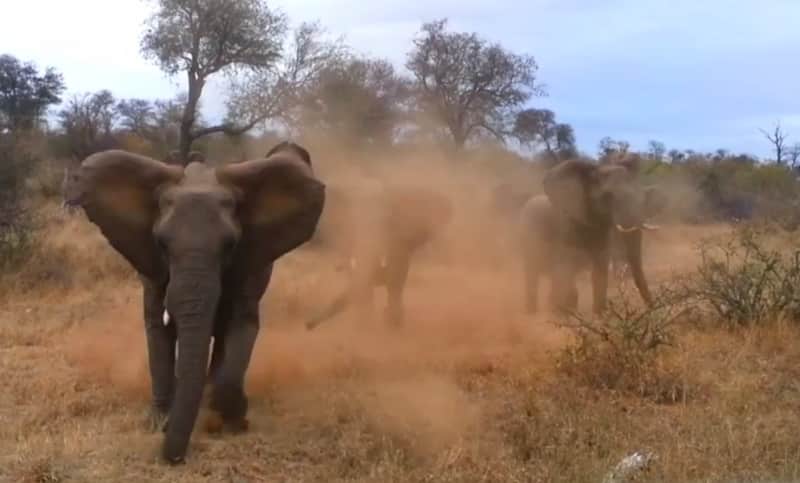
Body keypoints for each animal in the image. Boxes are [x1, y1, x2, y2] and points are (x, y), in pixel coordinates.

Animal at [62, 141, 325, 464]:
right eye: (162, 244)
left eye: (230, 245)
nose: (172, 458)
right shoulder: (151, 268)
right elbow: (157, 328)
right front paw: (159, 422)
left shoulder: (248, 266)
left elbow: (242, 325)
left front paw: (231, 418)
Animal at [305, 184, 453, 330]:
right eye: (350, 224)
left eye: (389, 221)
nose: (308, 325)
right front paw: (365, 326)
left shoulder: (399, 242)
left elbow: (395, 279)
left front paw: (391, 325)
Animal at [518, 159, 661, 315]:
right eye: (608, 196)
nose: (652, 308)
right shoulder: (566, 225)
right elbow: (565, 266)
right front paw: (560, 316)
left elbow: (600, 268)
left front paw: (600, 316)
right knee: (533, 275)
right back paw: (534, 314)